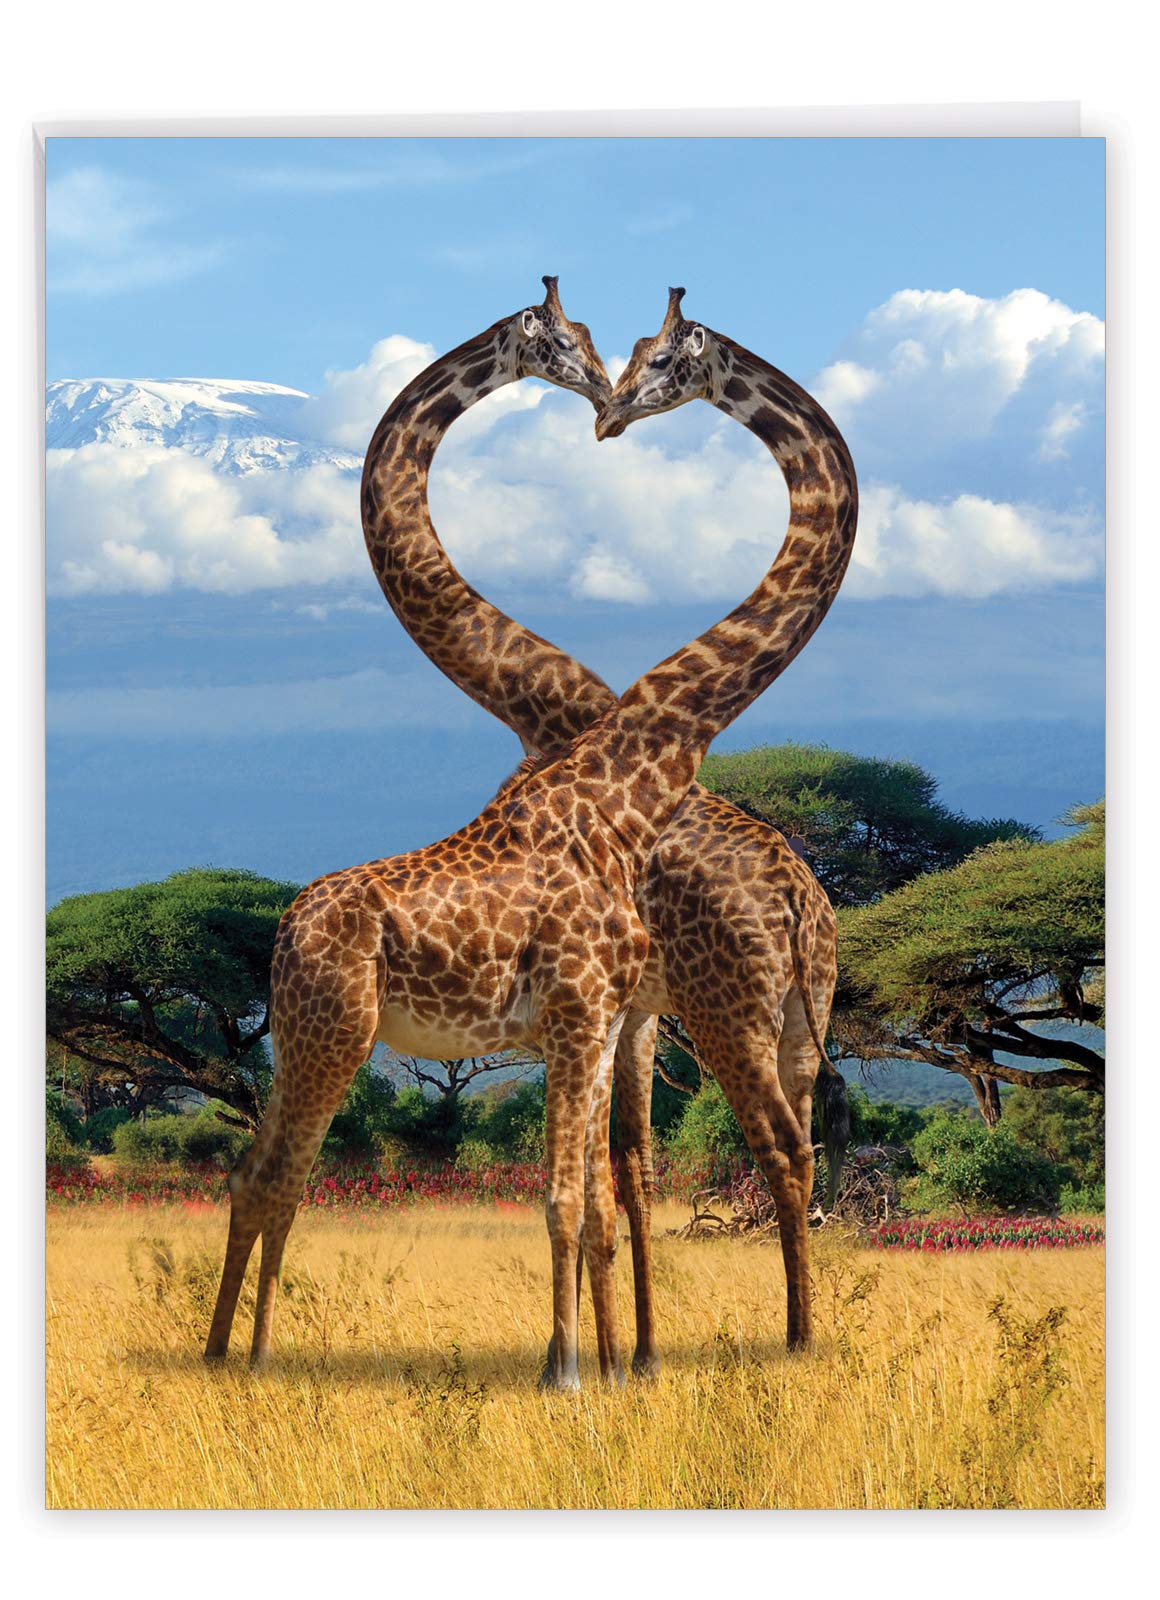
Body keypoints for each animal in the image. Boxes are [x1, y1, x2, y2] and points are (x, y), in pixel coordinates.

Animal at [203, 283, 856, 1387]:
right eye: (574, 341)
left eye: (652, 354)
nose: (607, 411)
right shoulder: (596, 1017)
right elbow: (596, 1190)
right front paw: (594, 1365)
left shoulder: (604, 1016)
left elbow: (599, 1189)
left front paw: (606, 1362)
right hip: (349, 1032)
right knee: (273, 1174)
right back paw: (237, 1359)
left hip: (756, 1020)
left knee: (785, 1148)